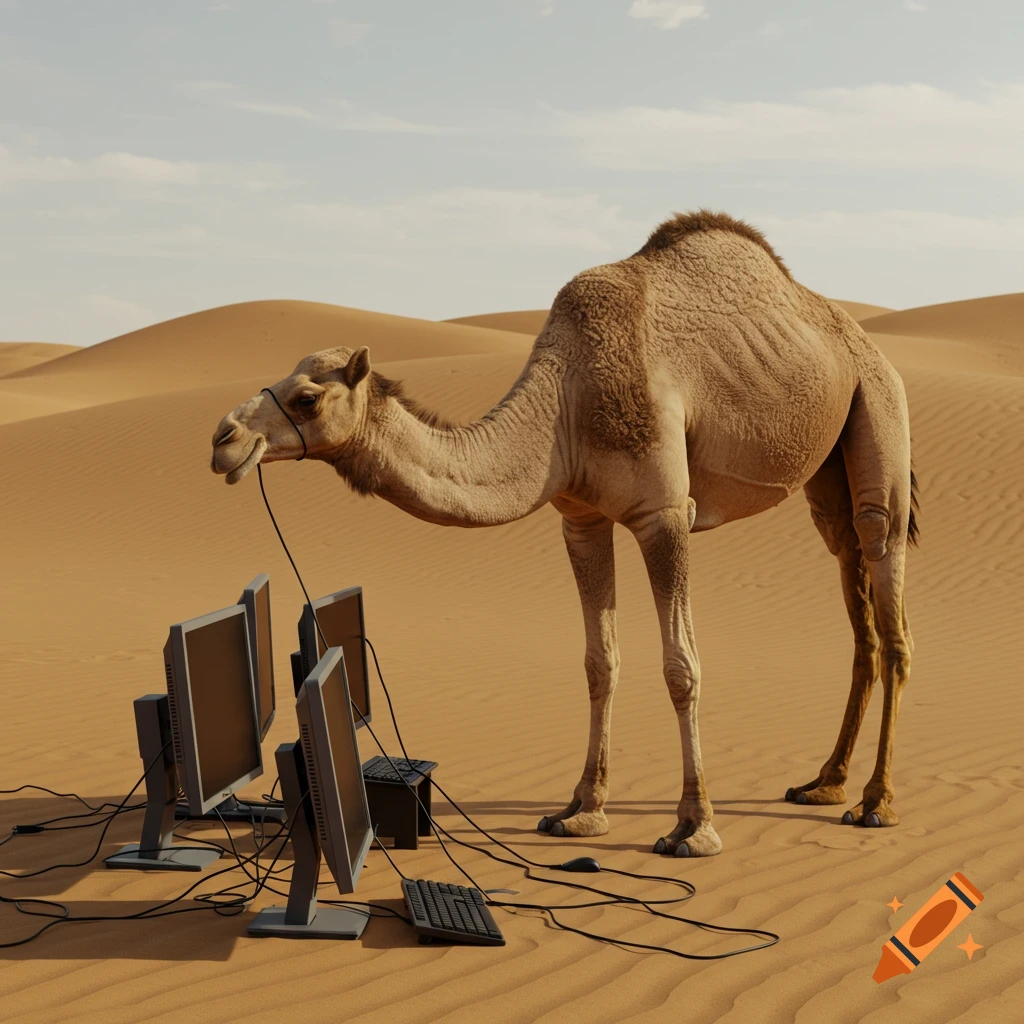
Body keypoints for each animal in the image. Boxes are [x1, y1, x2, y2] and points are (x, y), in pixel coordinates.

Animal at [210, 209, 918, 858]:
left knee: (886, 580)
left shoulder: (665, 512)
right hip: (827, 471)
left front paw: (694, 826)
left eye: (306, 397)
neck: (565, 407)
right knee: (854, 589)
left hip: (881, 408)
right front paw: (581, 810)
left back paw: (876, 802)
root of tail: (866, 344)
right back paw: (825, 782)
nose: (223, 438)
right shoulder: (581, 518)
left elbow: (681, 666)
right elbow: (598, 661)